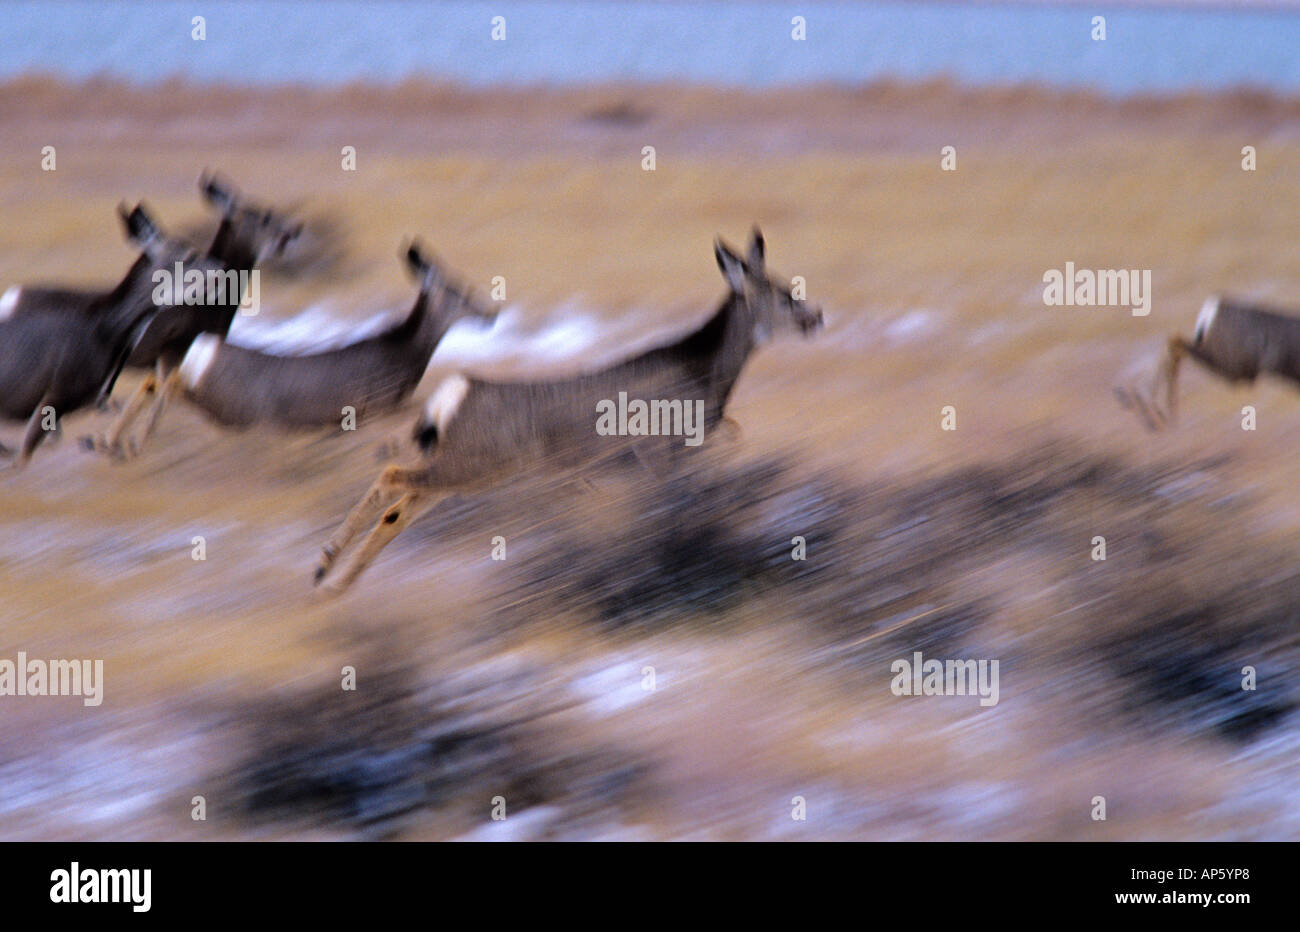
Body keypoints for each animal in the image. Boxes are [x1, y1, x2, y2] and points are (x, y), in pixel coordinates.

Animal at [0, 204, 227, 470]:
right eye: (190, 255)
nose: (223, 269)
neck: (105, 329)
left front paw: (114, 445)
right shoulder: (58, 392)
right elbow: (22, 456)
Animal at [87, 172, 302, 458]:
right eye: (265, 216)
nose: (294, 231)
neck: (214, 304)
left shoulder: (165, 360)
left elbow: (145, 395)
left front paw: (109, 442)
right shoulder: (176, 353)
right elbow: (161, 397)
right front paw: (130, 445)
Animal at [175, 240, 498, 430]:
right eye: (461, 291)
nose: (491, 314)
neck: (408, 354)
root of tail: (199, 359)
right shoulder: (377, 403)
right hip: (246, 412)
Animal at [313, 228, 824, 595]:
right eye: (782, 294)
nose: (815, 317)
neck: (704, 368)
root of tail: (452, 395)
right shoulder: (659, 446)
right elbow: (676, 500)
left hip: (465, 466)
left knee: (395, 511)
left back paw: (333, 583)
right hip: (483, 461)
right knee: (391, 478)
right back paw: (325, 565)